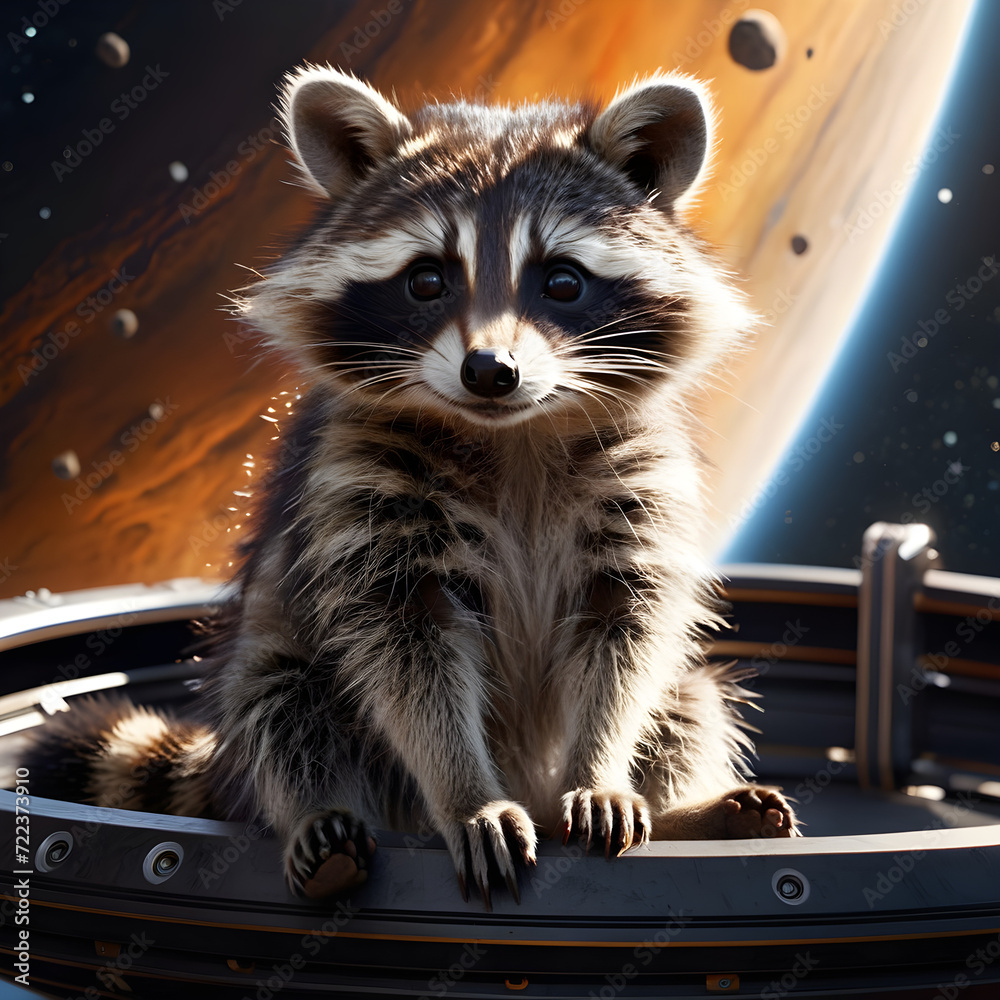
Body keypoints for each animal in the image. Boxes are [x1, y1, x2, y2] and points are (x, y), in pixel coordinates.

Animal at [24, 66, 798, 908]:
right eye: (427, 278)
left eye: (562, 280)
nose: (490, 371)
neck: (511, 433)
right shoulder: (363, 484)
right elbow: (407, 650)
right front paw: (465, 795)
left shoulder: (637, 484)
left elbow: (626, 632)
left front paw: (600, 769)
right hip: (280, 671)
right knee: (281, 696)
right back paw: (315, 816)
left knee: (689, 695)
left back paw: (692, 810)